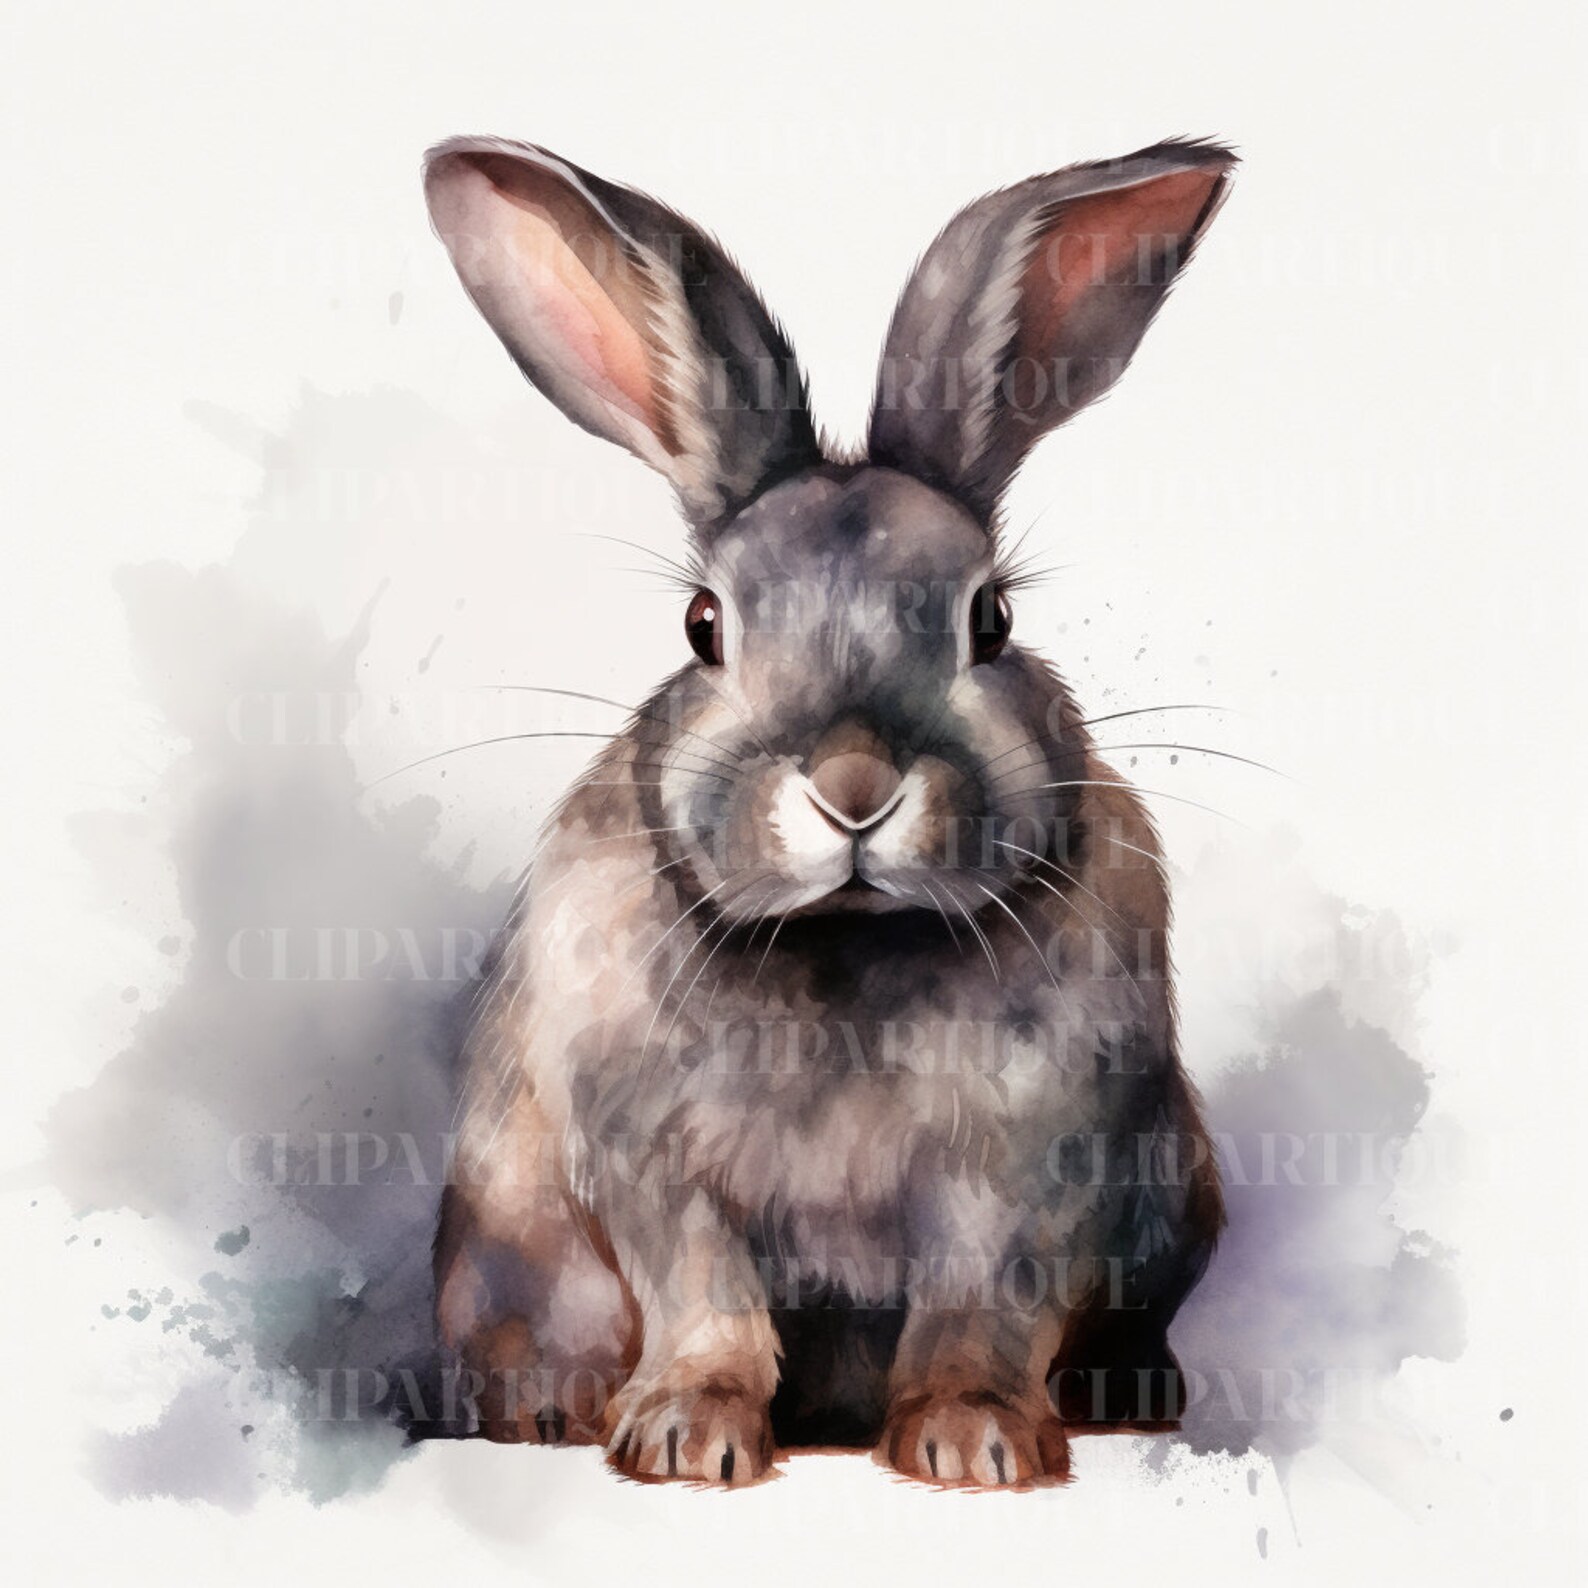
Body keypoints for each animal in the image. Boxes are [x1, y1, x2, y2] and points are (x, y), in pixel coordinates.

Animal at [423, 134, 1234, 1488]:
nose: (854, 788)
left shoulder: (1024, 1171)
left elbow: (980, 1302)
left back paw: (1128, 1391)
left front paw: (972, 1439)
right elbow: (703, 1297)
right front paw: (685, 1434)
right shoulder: (655, 1172)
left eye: (989, 618)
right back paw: (539, 1410)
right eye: (703, 624)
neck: (845, 944)